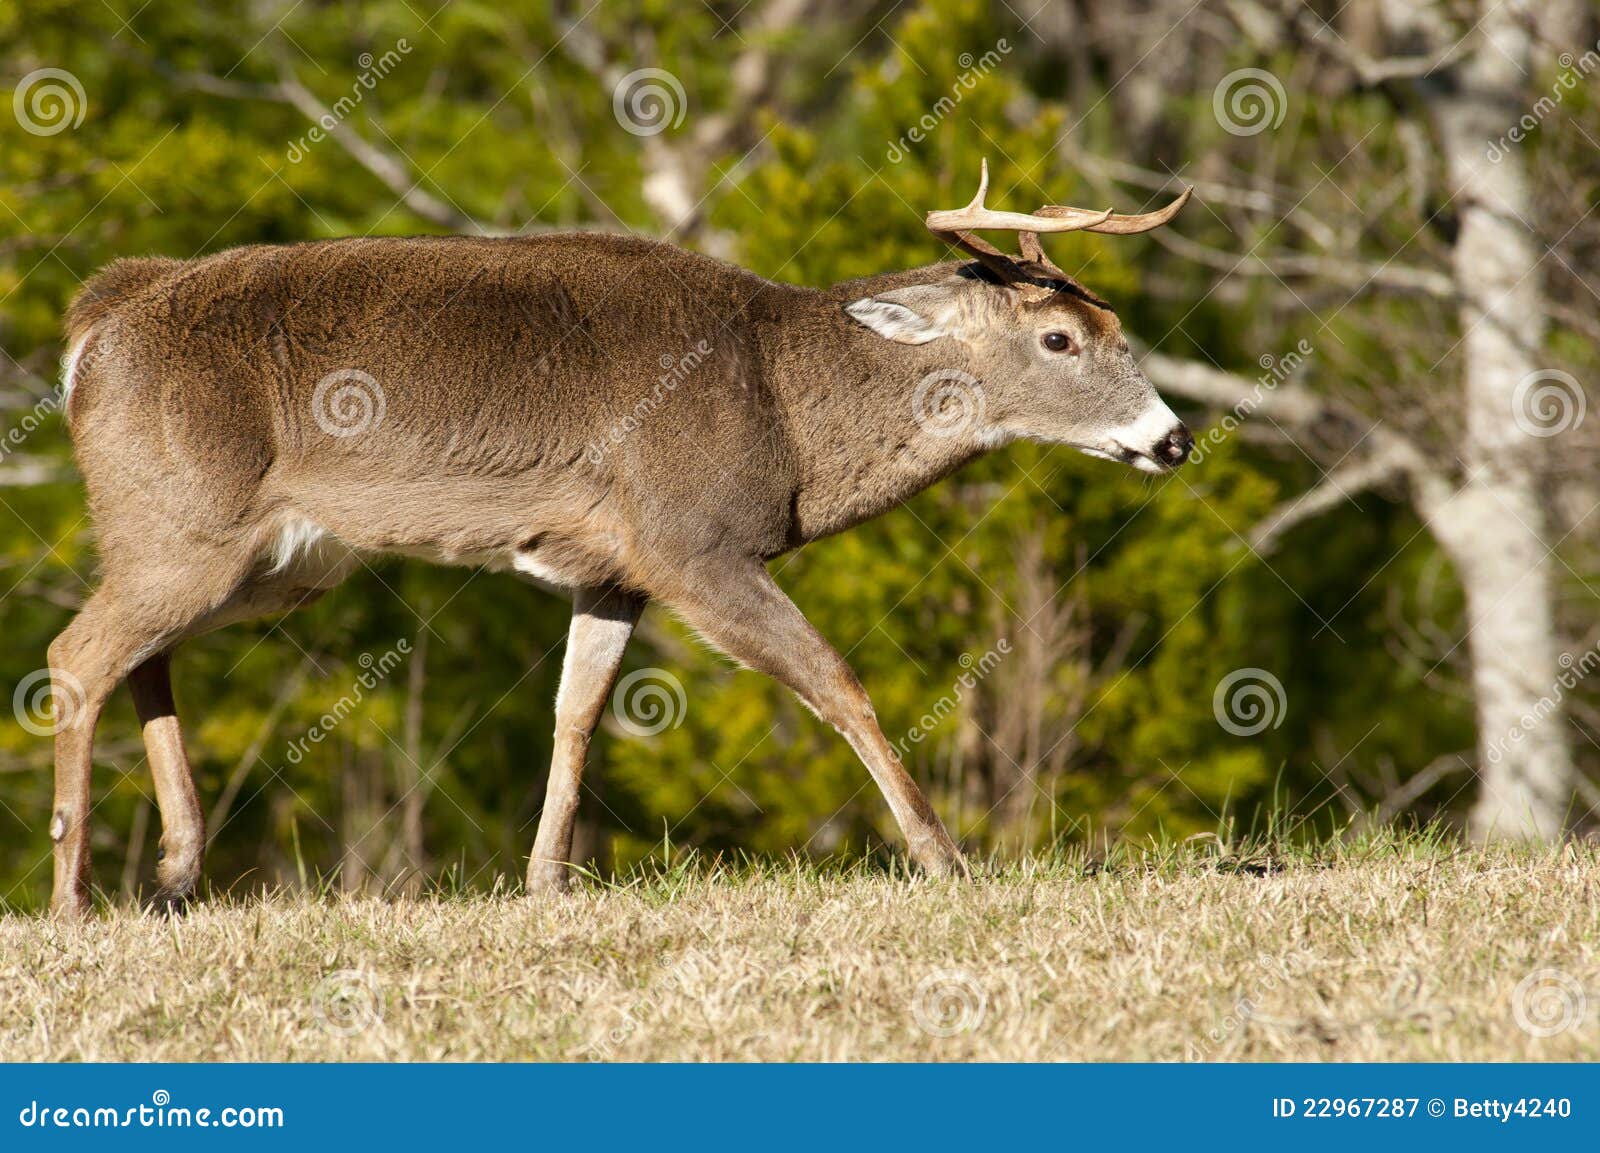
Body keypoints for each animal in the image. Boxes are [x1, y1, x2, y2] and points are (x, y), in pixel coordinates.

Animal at [46, 160, 1192, 915]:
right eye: (1060, 338)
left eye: (1118, 327)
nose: (1173, 437)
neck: (787, 409)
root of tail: (98, 322)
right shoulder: (695, 540)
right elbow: (837, 681)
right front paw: (941, 856)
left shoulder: (613, 570)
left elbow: (576, 714)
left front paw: (545, 881)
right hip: (184, 524)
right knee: (75, 654)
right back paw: (72, 893)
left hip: (266, 556)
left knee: (138, 658)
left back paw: (177, 873)